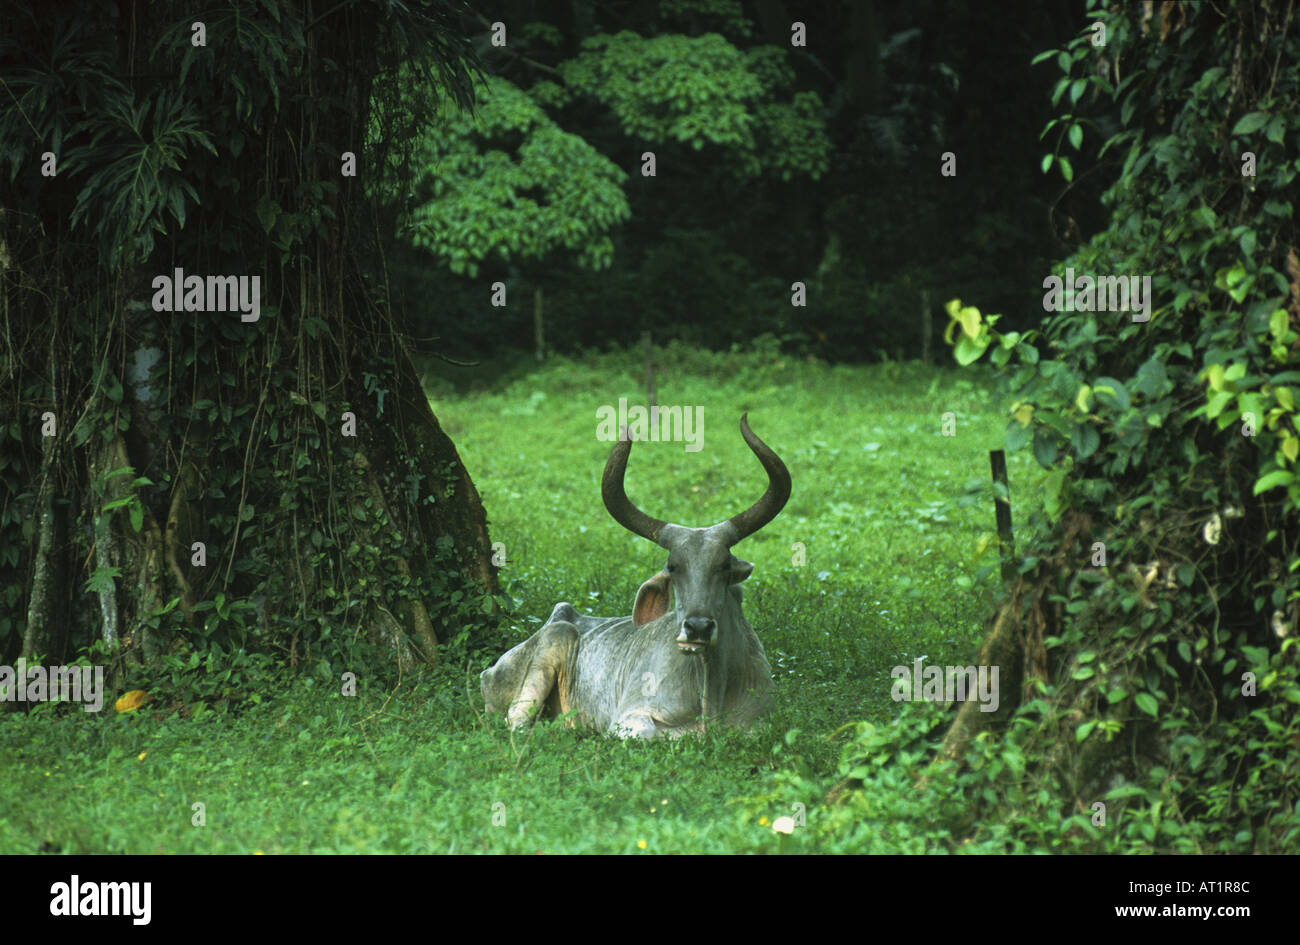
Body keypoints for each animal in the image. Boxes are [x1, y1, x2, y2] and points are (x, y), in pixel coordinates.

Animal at [481, 413, 791, 739]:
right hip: (555, 641)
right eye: (673, 567)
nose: (698, 628)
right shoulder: (629, 718)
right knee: (516, 723)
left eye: (723, 566)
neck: (710, 689)